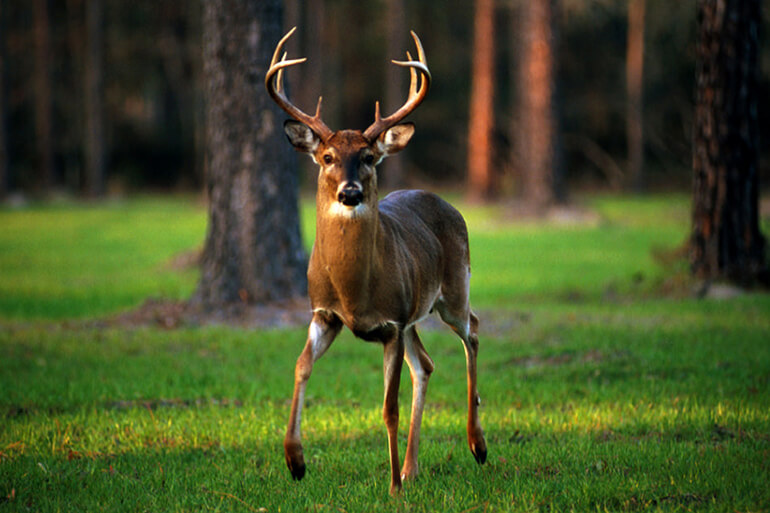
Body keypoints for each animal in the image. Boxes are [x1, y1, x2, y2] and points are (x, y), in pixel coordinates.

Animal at [265, 27, 487, 495]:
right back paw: (411, 468)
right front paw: (295, 461)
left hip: (453, 289)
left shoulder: (391, 324)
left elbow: (388, 408)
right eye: (327, 157)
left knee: (473, 330)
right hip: (416, 313)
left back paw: (476, 445)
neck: (354, 292)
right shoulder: (325, 314)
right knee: (426, 365)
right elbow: (299, 368)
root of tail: (445, 202)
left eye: (368, 157)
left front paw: (392, 489)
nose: (349, 192)